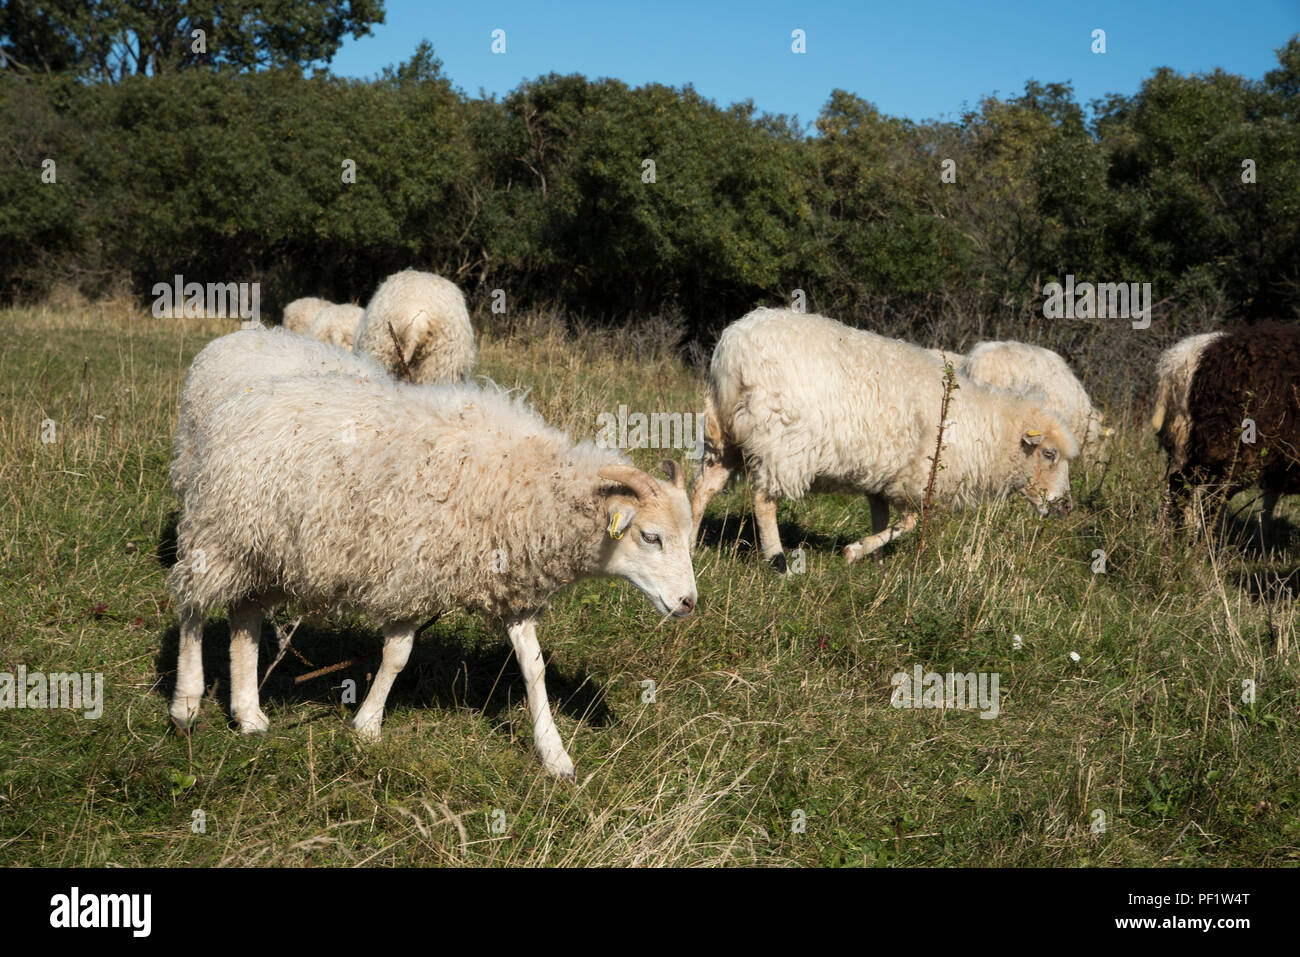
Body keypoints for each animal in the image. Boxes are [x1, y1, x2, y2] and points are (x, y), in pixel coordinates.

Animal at [167, 374, 697, 778]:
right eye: (651, 537)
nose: (689, 603)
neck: (527, 485)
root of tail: (238, 401)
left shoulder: (510, 587)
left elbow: (533, 667)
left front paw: (554, 754)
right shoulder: (412, 574)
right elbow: (397, 657)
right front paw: (368, 726)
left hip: (262, 553)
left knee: (245, 619)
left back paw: (249, 714)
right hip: (218, 535)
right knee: (192, 609)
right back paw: (187, 705)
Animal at [689, 308, 1078, 567]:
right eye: (1049, 454)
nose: (1064, 506)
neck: (979, 427)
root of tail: (734, 349)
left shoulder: (883, 474)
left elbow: (883, 516)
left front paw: (873, 558)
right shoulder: (916, 479)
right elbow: (908, 523)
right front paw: (855, 551)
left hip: (723, 436)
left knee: (703, 488)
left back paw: (689, 544)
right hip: (781, 443)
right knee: (763, 500)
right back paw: (777, 559)